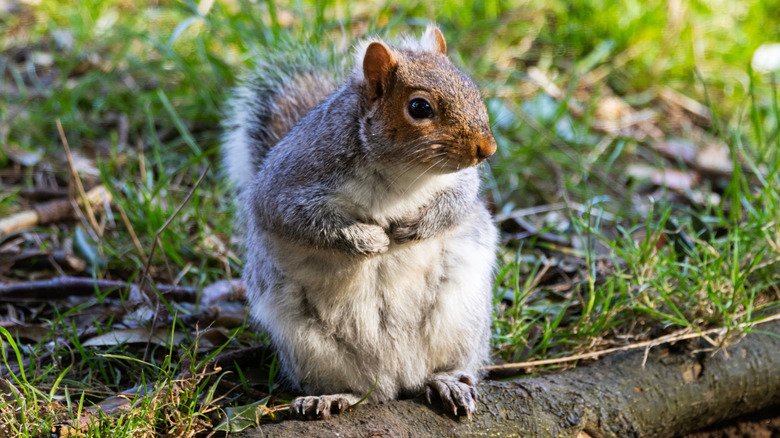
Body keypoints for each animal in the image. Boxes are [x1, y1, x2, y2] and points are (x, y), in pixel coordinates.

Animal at [222, 25, 498, 420]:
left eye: (472, 88)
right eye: (419, 107)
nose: (487, 149)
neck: (401, 175)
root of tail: (399, 375)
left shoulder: (461, 182)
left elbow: (458, 202)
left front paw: (414, 227)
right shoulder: (286, 183)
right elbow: (296, 219)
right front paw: (369, 240)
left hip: (460, 321)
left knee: (440, 370)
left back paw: (447, 382)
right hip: (311, 346)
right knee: (364, 391)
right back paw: (331, 398)